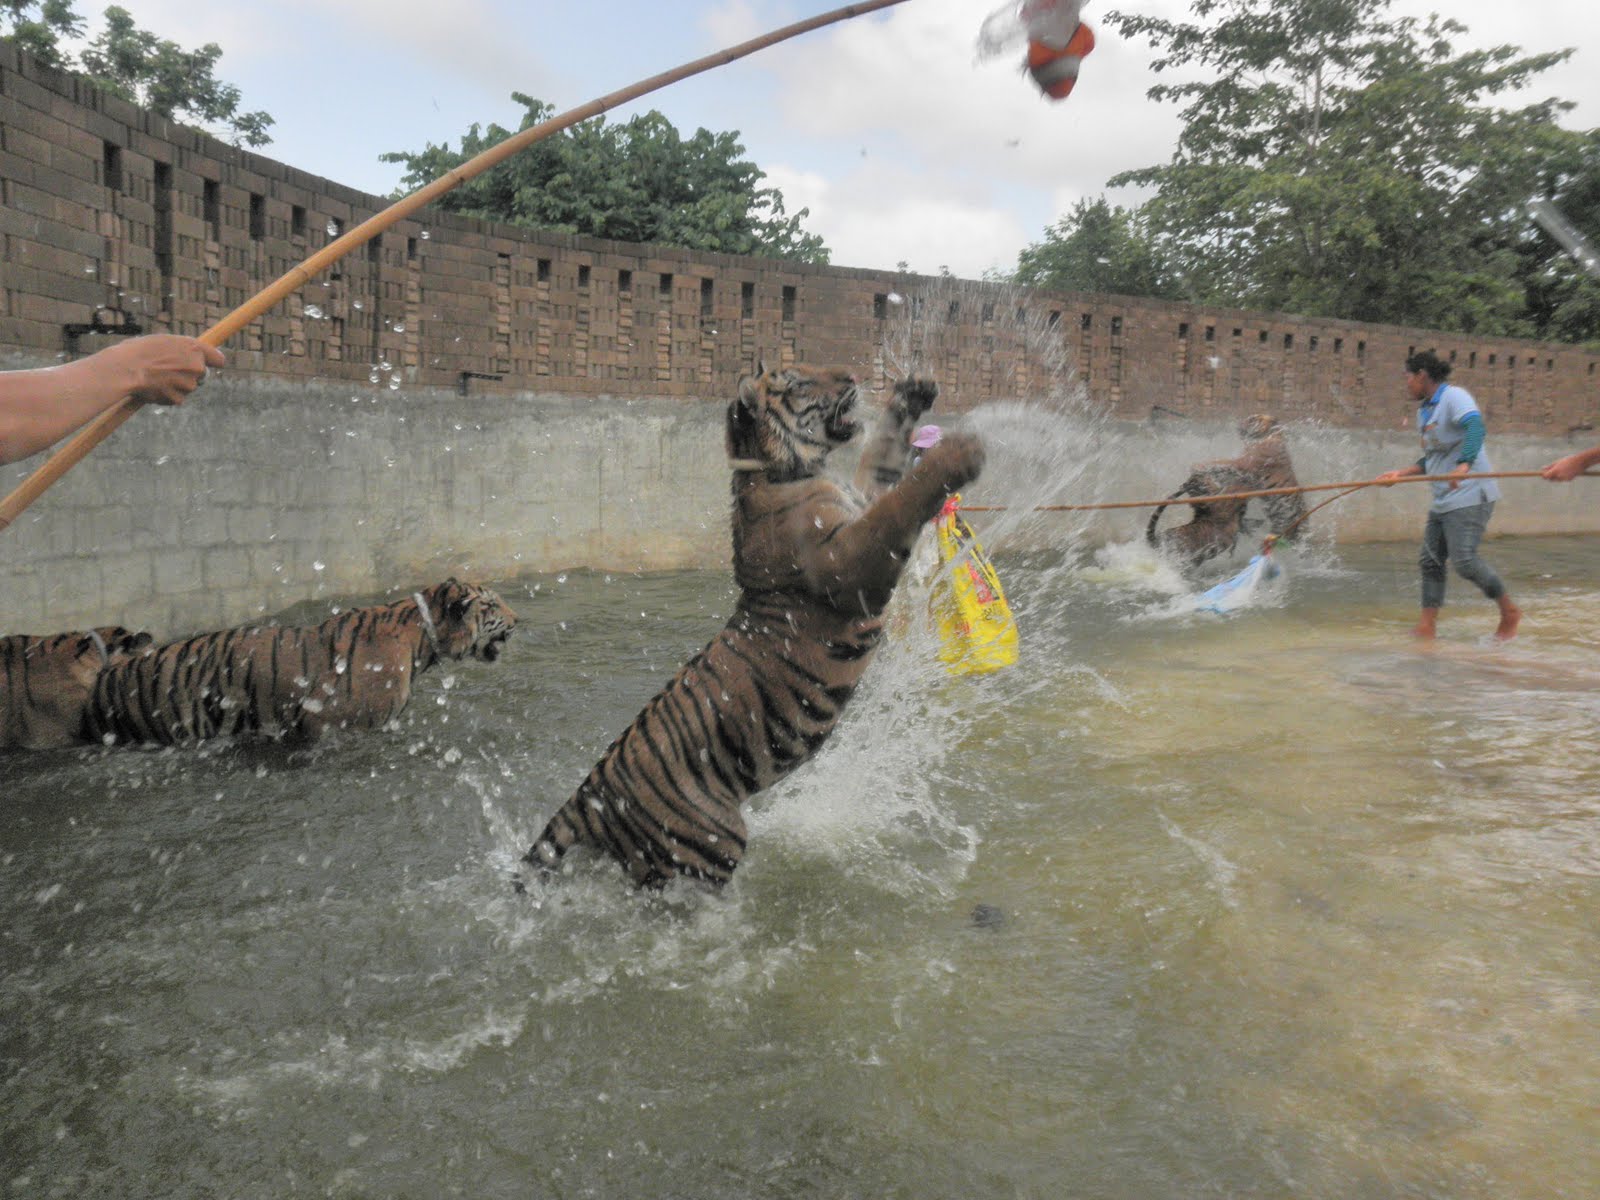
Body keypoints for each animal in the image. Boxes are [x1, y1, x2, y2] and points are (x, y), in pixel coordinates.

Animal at [522, 362, 985, 890]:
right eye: (801, 382)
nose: (850, 375)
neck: (786, 470)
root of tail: (588, 796)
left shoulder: (864, 499)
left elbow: (884, 457)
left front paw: (912, 394)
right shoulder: (849, 563)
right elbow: (901, 504)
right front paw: (959, 454)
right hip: (707, 847)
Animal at [1146, 413, 1307, 567]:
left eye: (1253, 419)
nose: (1239, 424)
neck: (1271, 436)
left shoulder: (1244, 463)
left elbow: (1221, 464)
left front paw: (1199, 467)